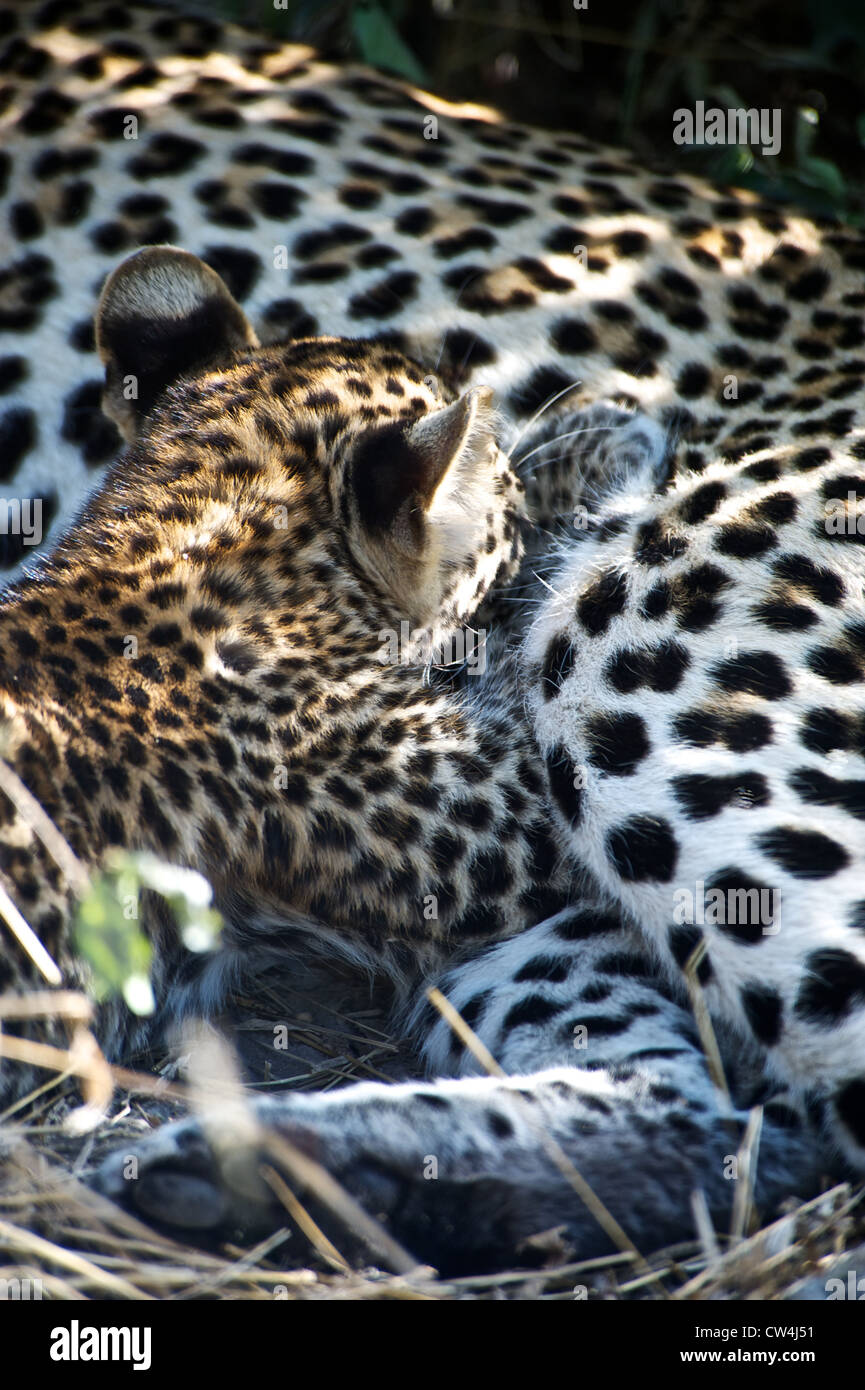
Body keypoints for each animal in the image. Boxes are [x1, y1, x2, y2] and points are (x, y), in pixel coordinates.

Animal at [2, 0, 865, 1278]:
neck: (174, 546)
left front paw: (580, 428)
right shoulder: (468, 821)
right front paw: (586, 438)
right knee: (732, 1112)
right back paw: (251, 1178)